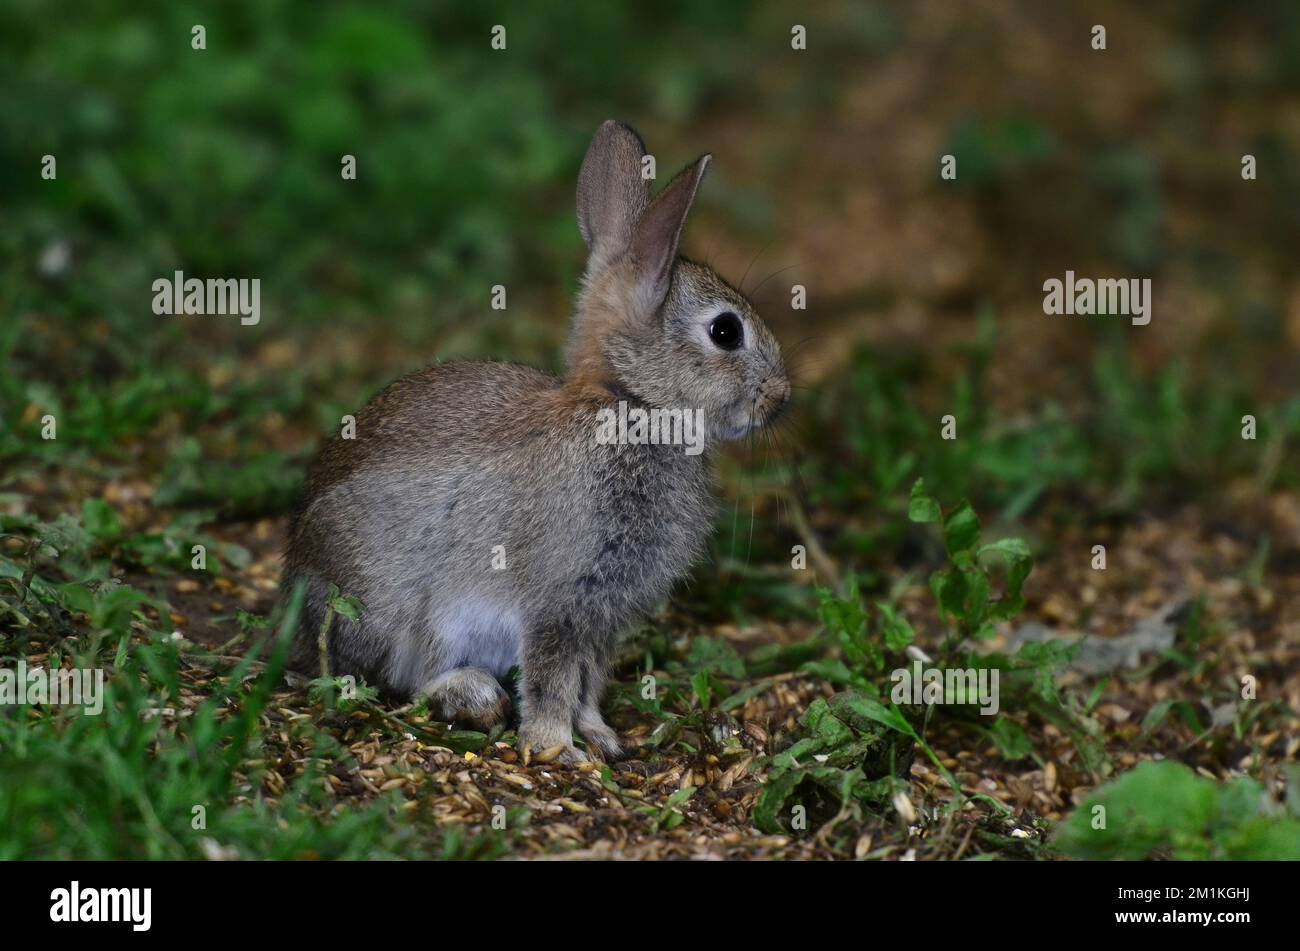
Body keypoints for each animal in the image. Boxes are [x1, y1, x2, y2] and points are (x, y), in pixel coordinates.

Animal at [282, 120, 789, 764]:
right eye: (726, 331)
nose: (780, 397)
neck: (630, 404)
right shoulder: (558, 603)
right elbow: (552, 679)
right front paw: (557, 750)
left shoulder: (599, 619)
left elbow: (587, 681)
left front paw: (600, 737)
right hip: (391, 607)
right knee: (398, 675)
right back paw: (469, 694)